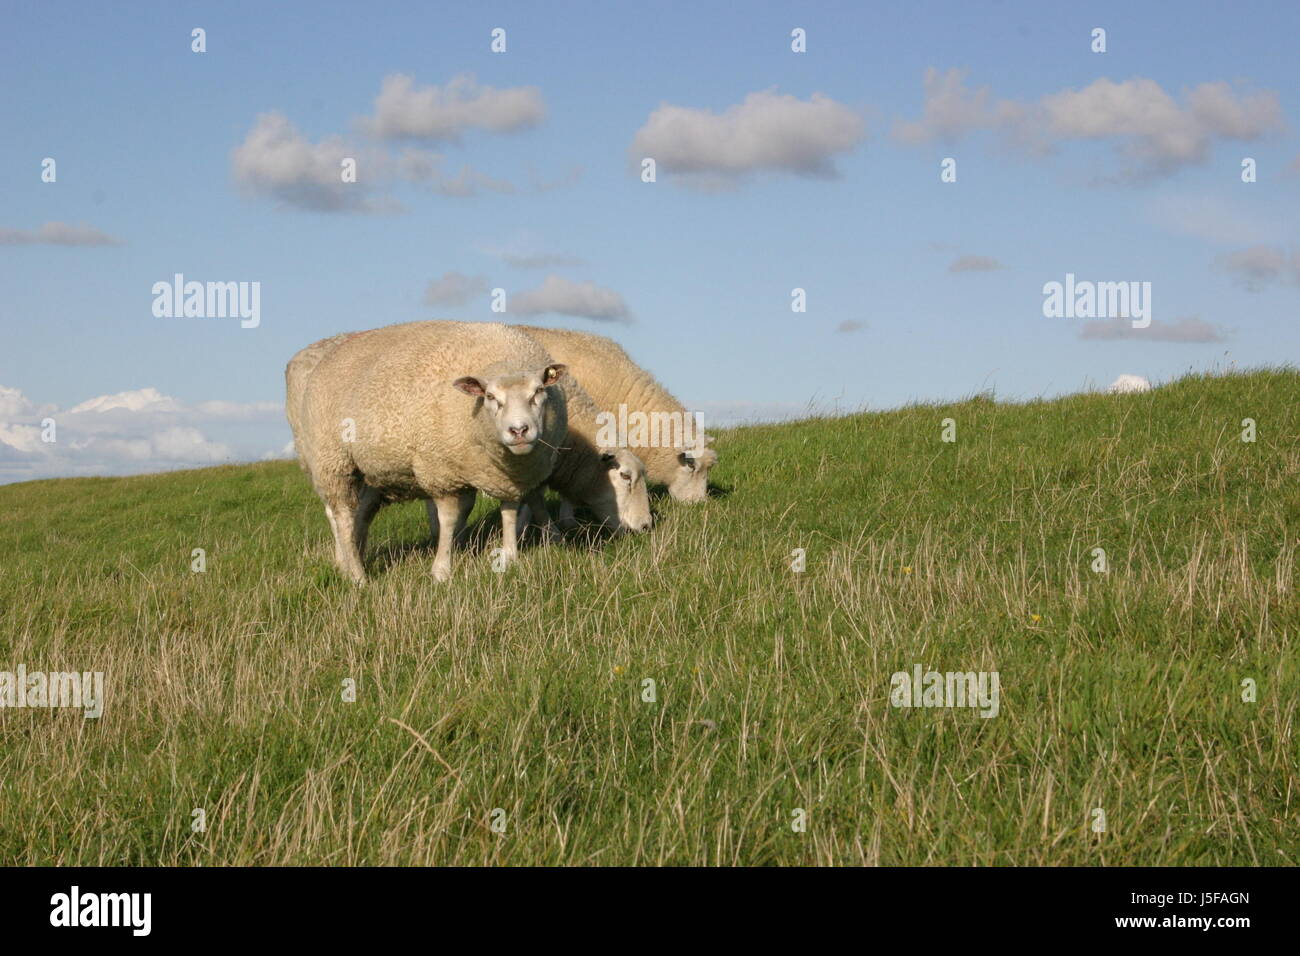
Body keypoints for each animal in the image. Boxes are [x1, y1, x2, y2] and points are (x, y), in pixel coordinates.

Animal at [287, 320, 568, 583]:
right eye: (490, 396)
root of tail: (331, 352)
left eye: (538, 391)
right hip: (332, 460)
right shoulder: (440, 471)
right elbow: (448, 519)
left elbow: (508, 512)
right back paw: (357, 576)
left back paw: (351, 560)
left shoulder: (507, 476)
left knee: (361, 513)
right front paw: (441, 570)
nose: (519, 430)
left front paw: (510, 559)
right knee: (343, 516)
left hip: (367, 471)